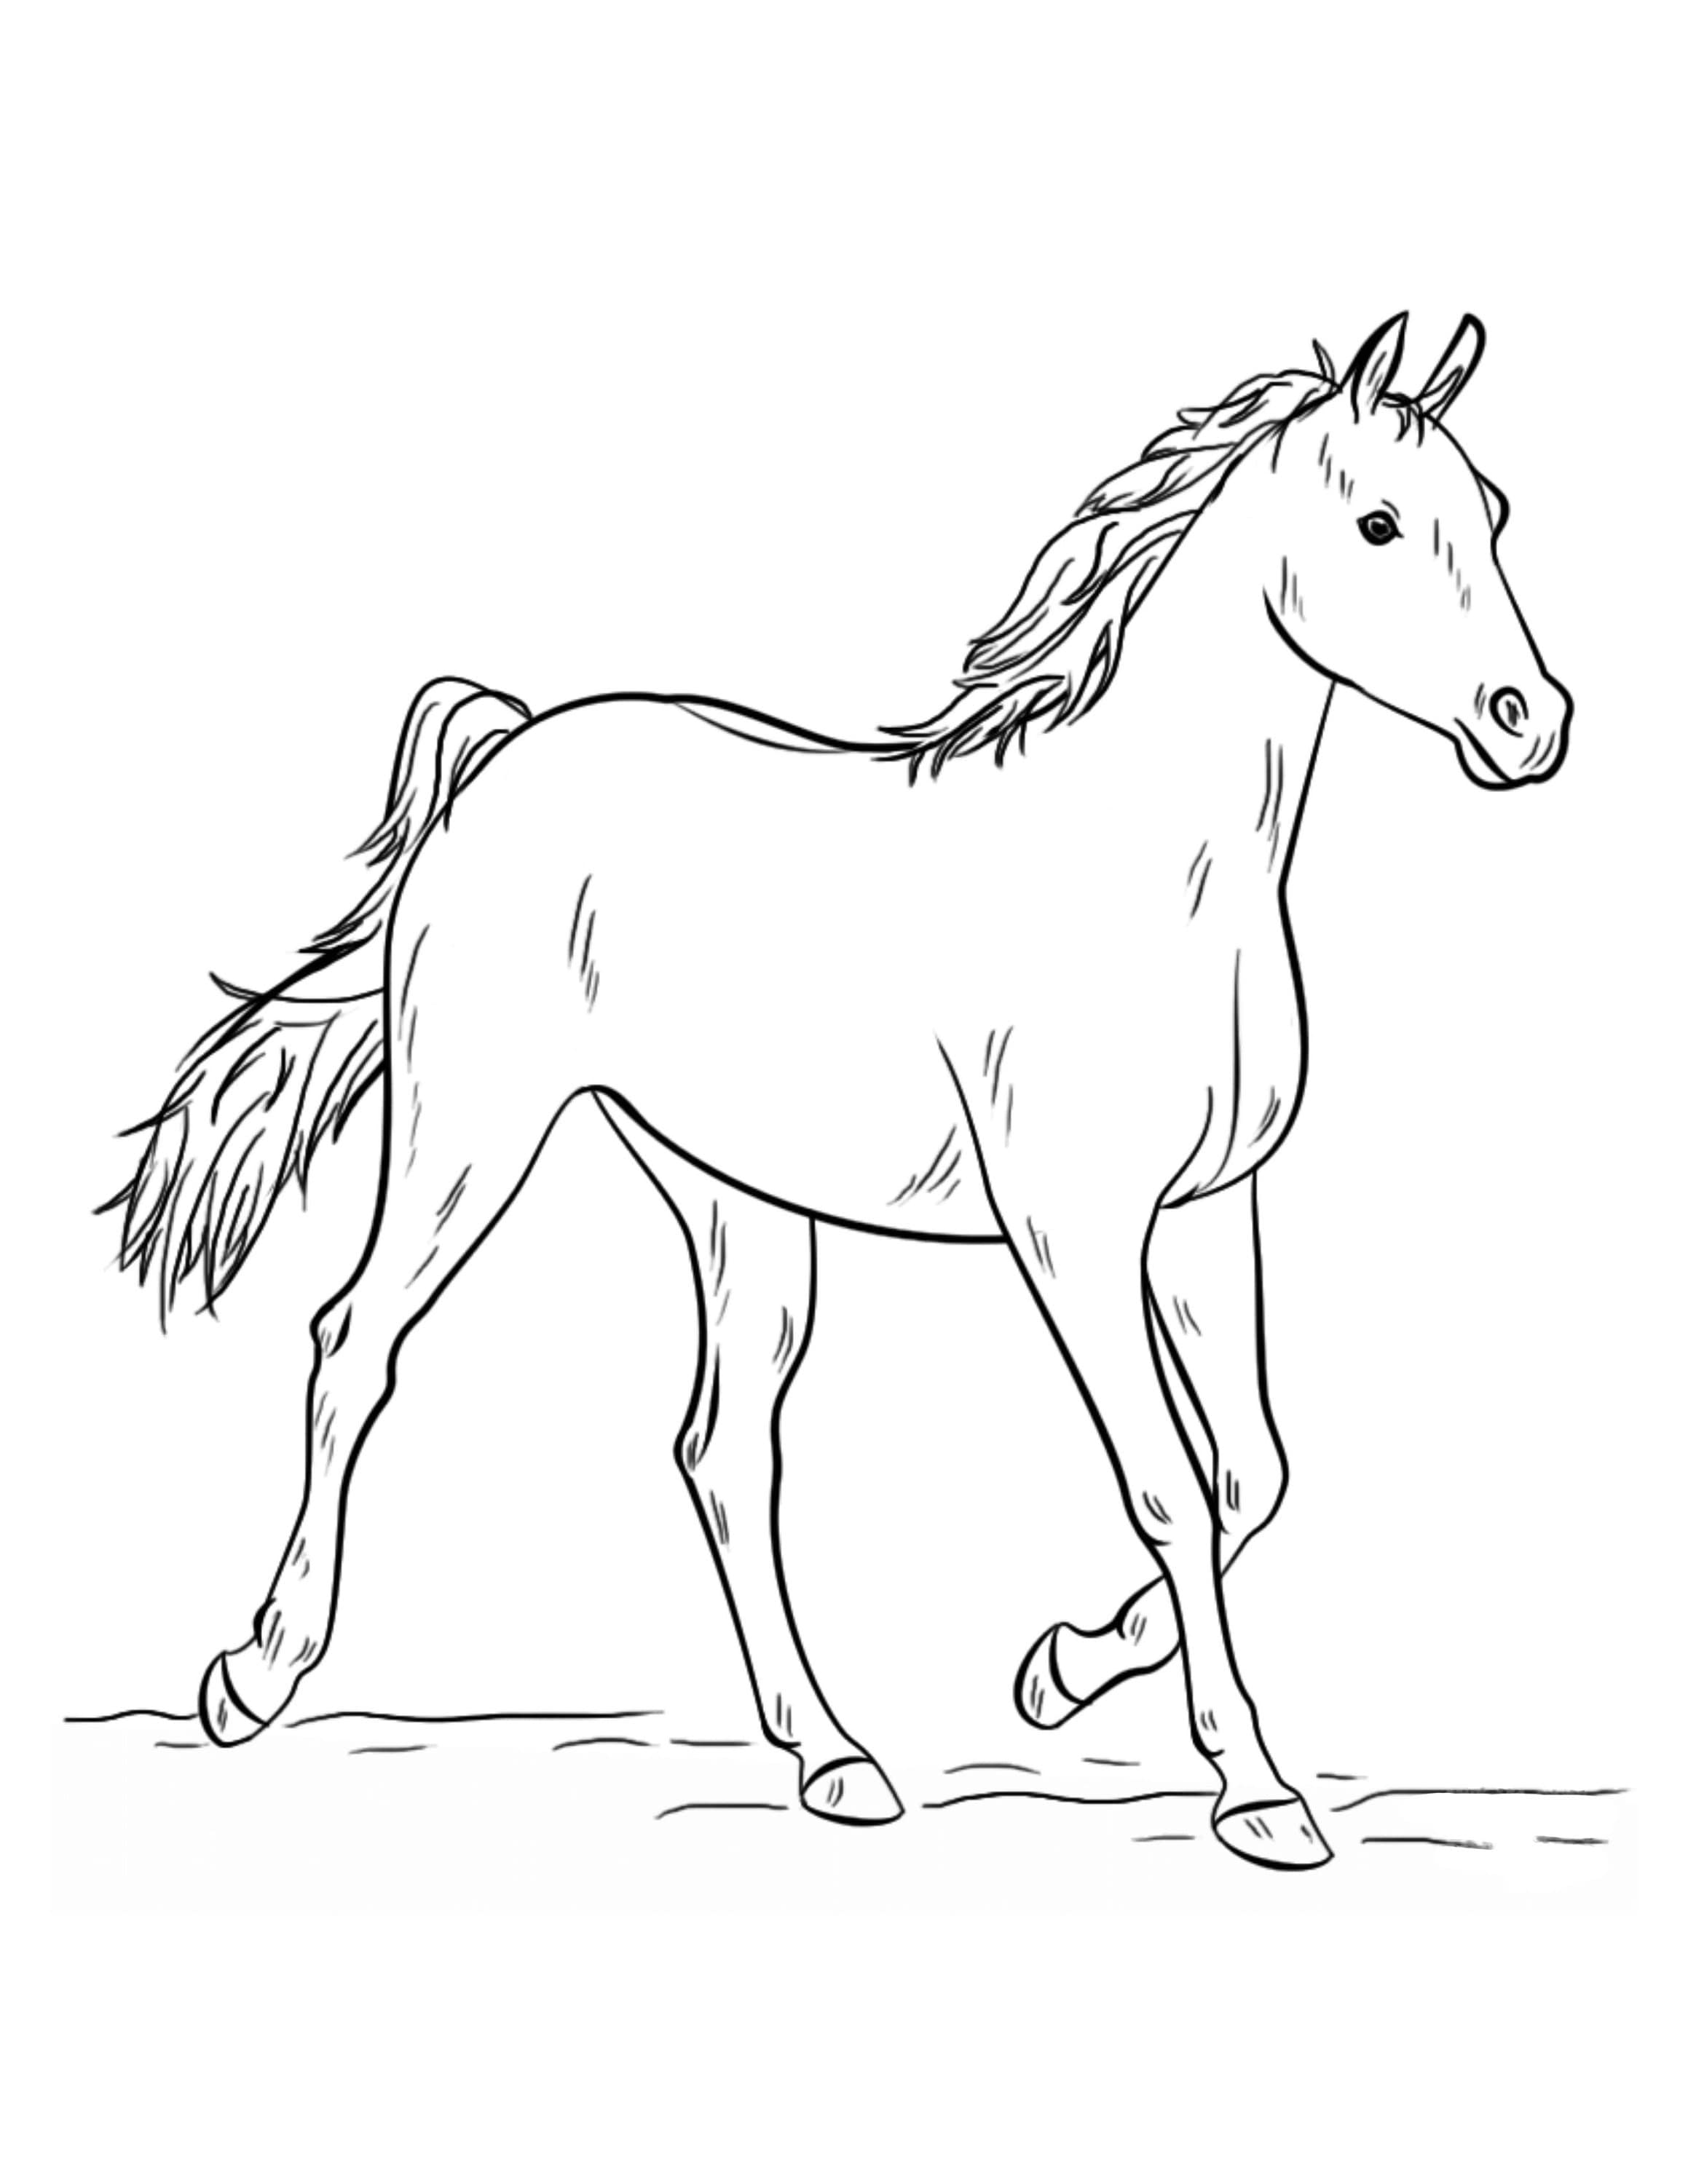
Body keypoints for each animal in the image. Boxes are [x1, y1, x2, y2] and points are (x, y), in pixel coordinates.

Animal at [104, 312, 1570, 1870]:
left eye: (1492, 512)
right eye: (1374, 524)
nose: (1527, 723)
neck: (1153, 871)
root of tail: (503, 749)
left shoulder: (1202, 1215)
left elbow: (1251, 1474)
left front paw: (1057, 1672)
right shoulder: (1074, 1235)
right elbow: (1171, 1488)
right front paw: (1256, 1793)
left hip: (732, 1201)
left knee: (720, 1452)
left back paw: (833, 1757)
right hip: (470, 1135)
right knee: (355, 1343)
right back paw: (252, 1677)